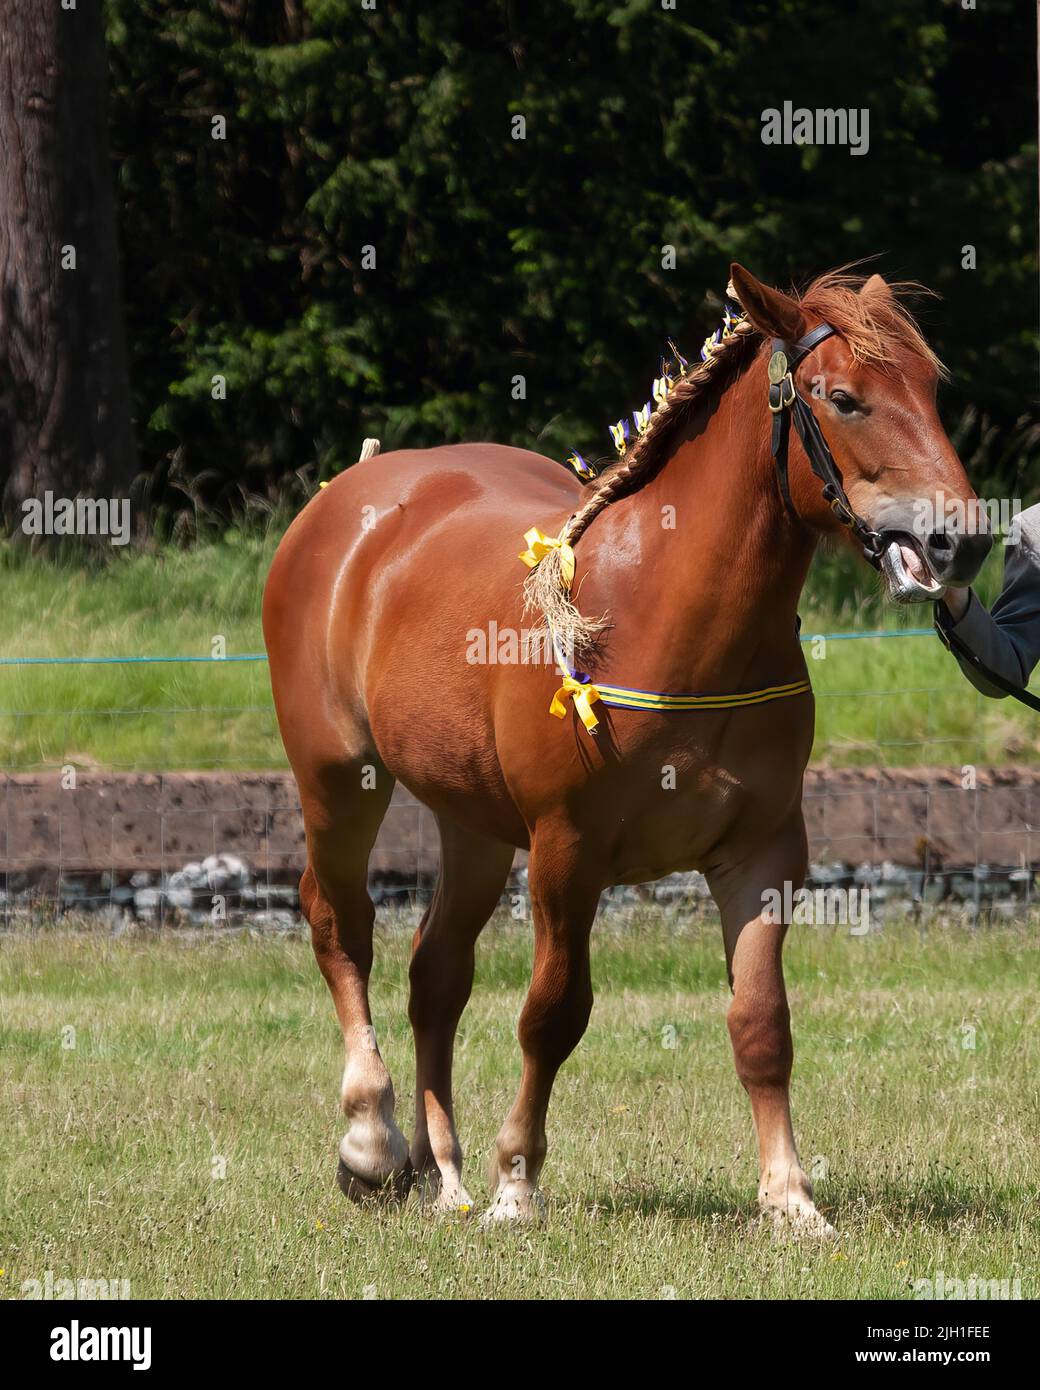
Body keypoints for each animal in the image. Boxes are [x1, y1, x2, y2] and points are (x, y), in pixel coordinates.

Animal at [263, 264, 991, 1231]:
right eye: (843, 398)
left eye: (934, 391)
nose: (963, 538)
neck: (662, 618)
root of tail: (351, 493)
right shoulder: (565, 855)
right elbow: (552, 1014)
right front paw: (517, 1182)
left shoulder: (762, 854)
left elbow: (762, 1023)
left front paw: (791, 1199)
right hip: (341, 780)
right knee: (341, 926)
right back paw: (371, 1140)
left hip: (474, 826)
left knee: (435, 975)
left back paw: (443, 1172)